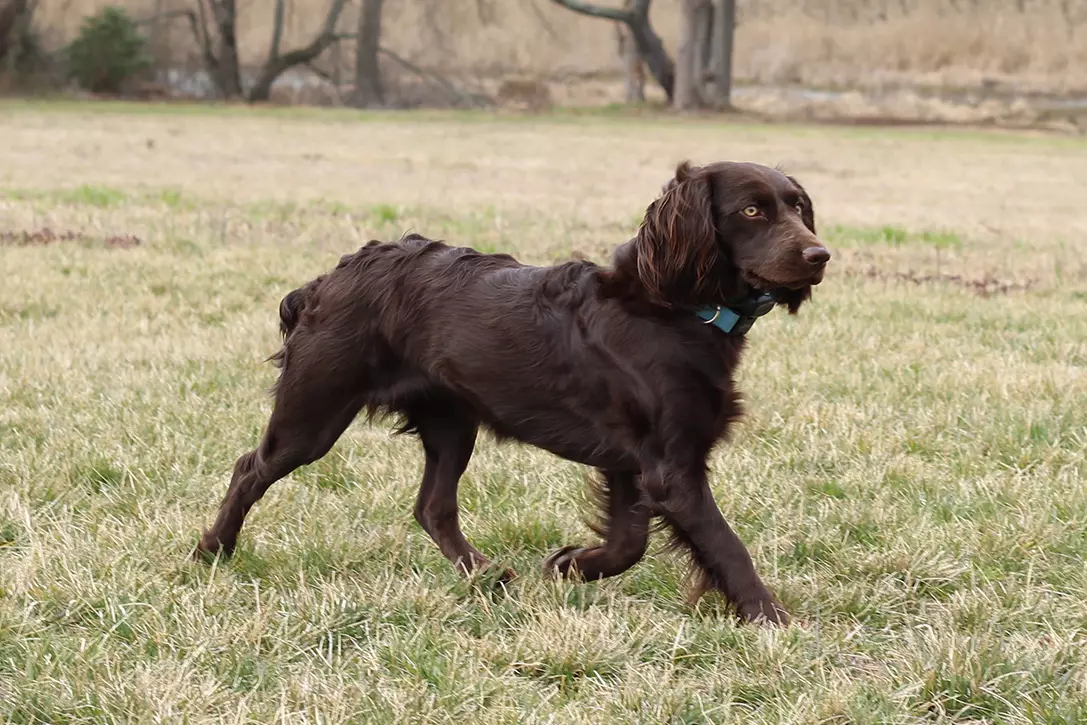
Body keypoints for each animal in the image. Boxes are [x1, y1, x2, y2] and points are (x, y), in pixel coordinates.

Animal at [197, 161, 830, 626]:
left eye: (799, 207)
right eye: (751, 209)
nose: (820, 255)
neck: (677, 308)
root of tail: (327, 278)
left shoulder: (631, 464)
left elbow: (629, 543)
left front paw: (571, 565)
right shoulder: (670, 467)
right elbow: (725, 546)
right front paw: (773, 619)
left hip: (450, 420)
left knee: (432, 506)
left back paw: (485, 574)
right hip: (316, 408)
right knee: (251, 466)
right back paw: (212, 550)